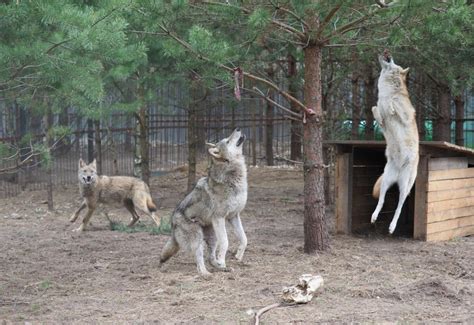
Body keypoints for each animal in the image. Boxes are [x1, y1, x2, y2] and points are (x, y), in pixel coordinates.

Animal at [370, 50, 418, 233]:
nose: (386, 51)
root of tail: (397, 174)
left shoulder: (405, 114)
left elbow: (393, 103)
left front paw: (390, 108)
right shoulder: (378, 110)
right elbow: (375, 107)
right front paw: (382, 116)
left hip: (404, 188)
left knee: (399, 206)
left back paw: (392, 227)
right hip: (386, 182)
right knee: (382, 201)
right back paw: (374, 217)